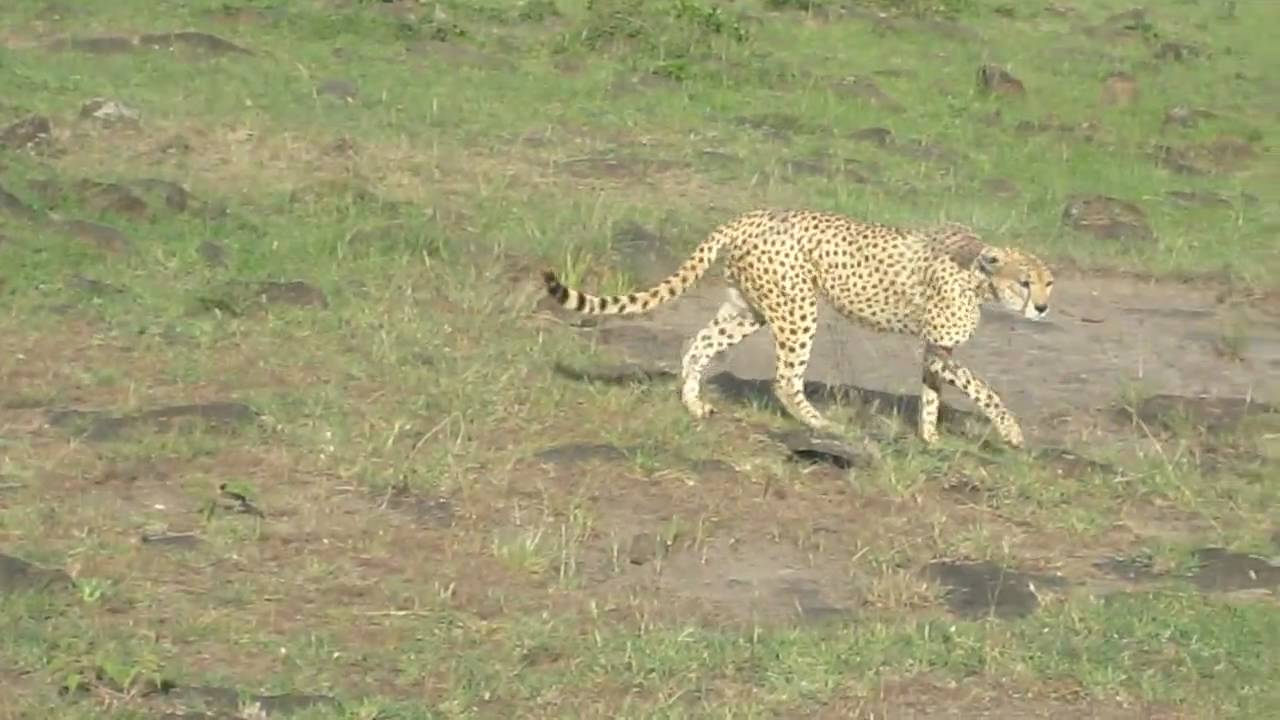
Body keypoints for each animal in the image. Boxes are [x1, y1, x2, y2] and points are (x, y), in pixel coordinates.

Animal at [541, 209, 1054, 448]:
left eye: (1049, 282)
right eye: (1026, 282)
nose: (1043, 307)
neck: (979, 276)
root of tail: (749, 216)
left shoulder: (935, 348)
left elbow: (933, 392)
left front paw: (930, 437)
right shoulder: (941, 344)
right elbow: (984, 389)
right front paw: (1011, 433)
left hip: (748, 308)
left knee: (696, 344)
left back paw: (694, 404)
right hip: (796, 307)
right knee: (785, 378)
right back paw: (820, 422)